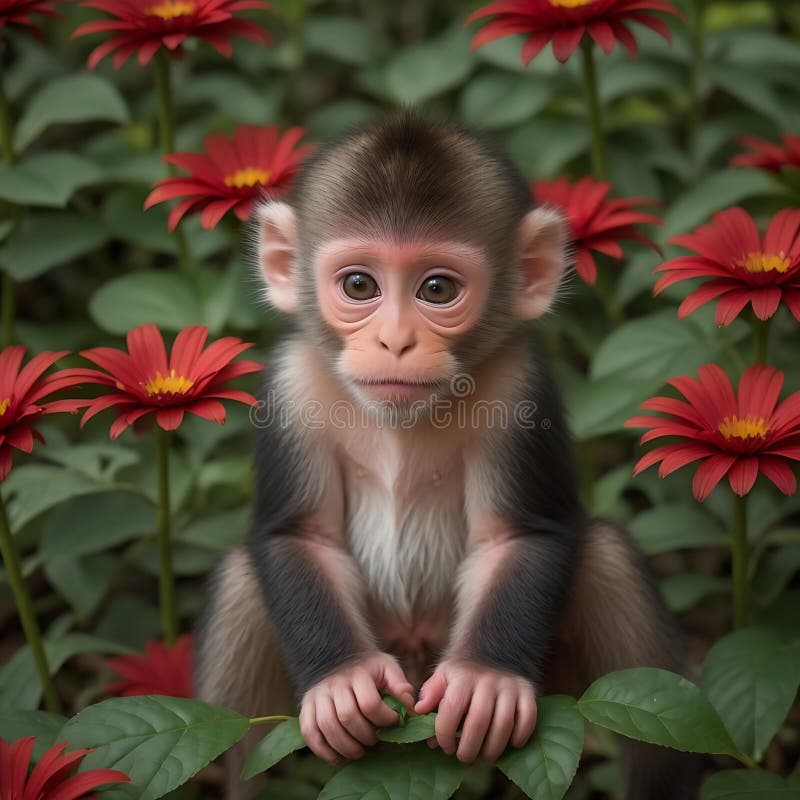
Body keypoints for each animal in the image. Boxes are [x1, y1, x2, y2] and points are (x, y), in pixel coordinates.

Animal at [197, 111, 701, 800]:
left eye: (436, 289)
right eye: (359, 284)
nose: (395, 341)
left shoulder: (518, 386)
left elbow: (517, 536)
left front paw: (485, 680)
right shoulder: (294, 384)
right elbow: (300, 537)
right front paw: (341, 681)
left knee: (608, 558)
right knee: (240, 584)